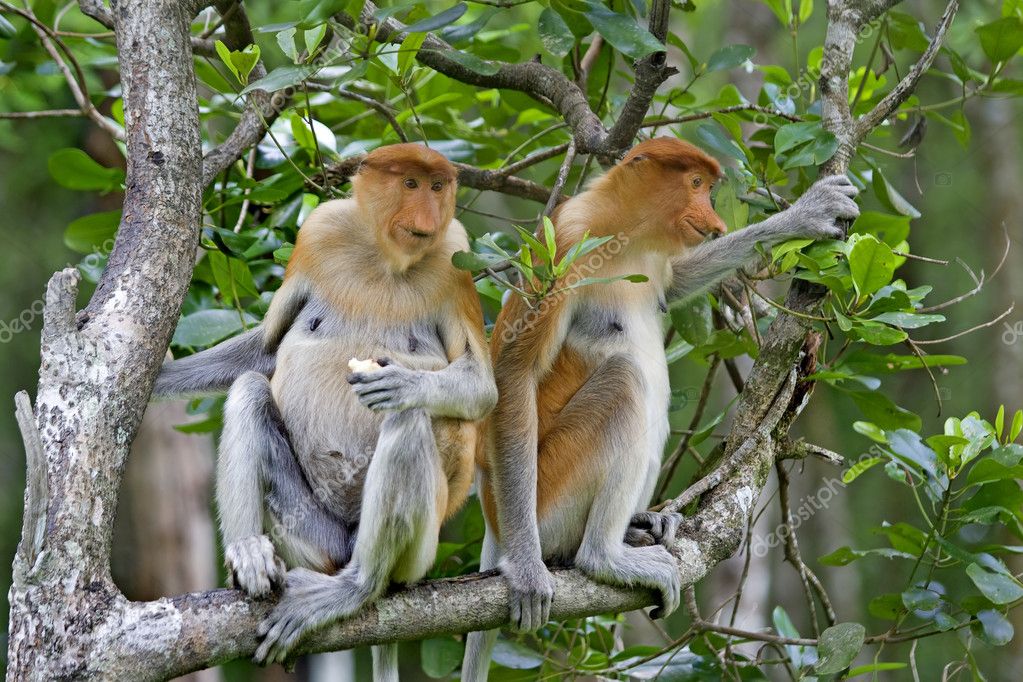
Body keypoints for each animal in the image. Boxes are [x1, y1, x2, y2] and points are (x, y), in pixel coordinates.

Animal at [153, 143, 497, 678]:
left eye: (439, 187)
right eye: (411, 184)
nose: (428, 216)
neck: (385, 257)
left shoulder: (454, 258)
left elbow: (482, 388)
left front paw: (401, 380)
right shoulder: (318, 233)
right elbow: (265, 352)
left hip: (416, 553)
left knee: (406, 419)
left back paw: (354, 587)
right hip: (309, 536)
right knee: (249, 391)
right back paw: (250, 554)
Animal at [460, 137, 859, 680]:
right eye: (695, 184)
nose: (713, 219)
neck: (625, 232)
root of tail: (493, 522)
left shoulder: (656, 259)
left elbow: (676, 283)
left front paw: (808, 214)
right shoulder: (564, 243)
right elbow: (514, 373)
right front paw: (527, 573)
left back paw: (642, 525)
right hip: (549, 495)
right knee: (626, 384)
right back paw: (600, 556)